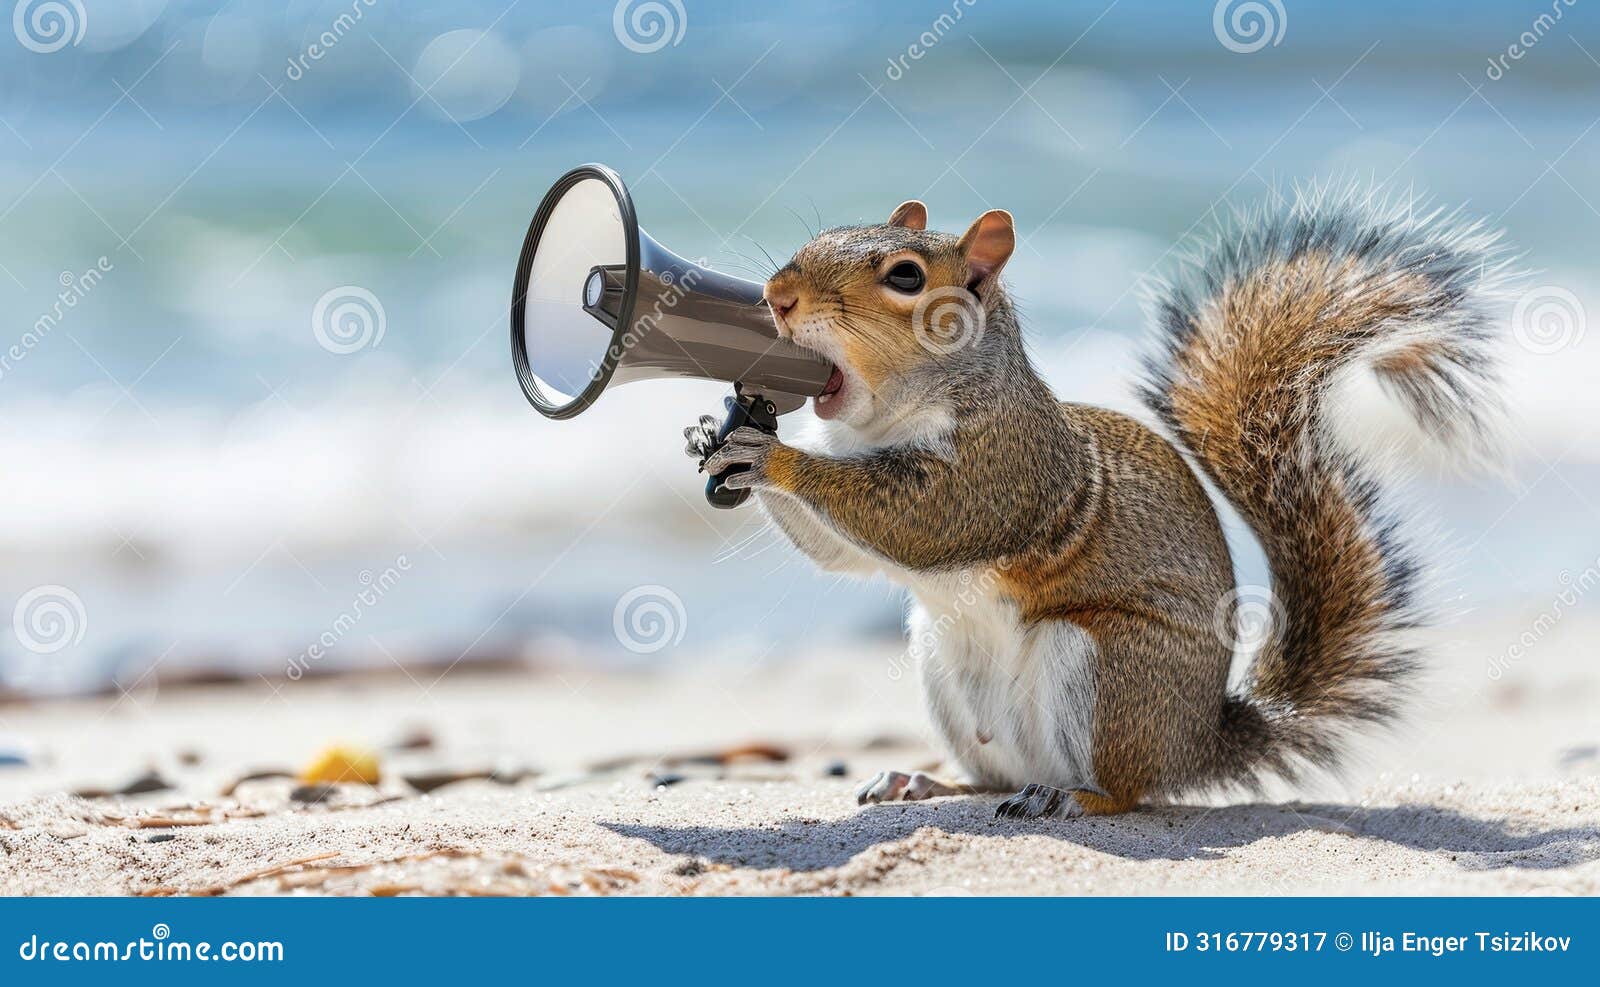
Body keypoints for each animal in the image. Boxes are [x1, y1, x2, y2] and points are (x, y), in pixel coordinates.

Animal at [684, 187, 1508, 818]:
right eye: (822, 235)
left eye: (907, 277)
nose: (778, 297)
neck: (887, 420)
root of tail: (1194, 745)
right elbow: (842, 549)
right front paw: (723, 434)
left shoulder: (1005, 473)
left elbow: (918, 522)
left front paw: (774, 454)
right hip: (942, 662)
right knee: (994, 777)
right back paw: (925, 780)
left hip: (1107, 666)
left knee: (1124, 789)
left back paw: (1073, 797)